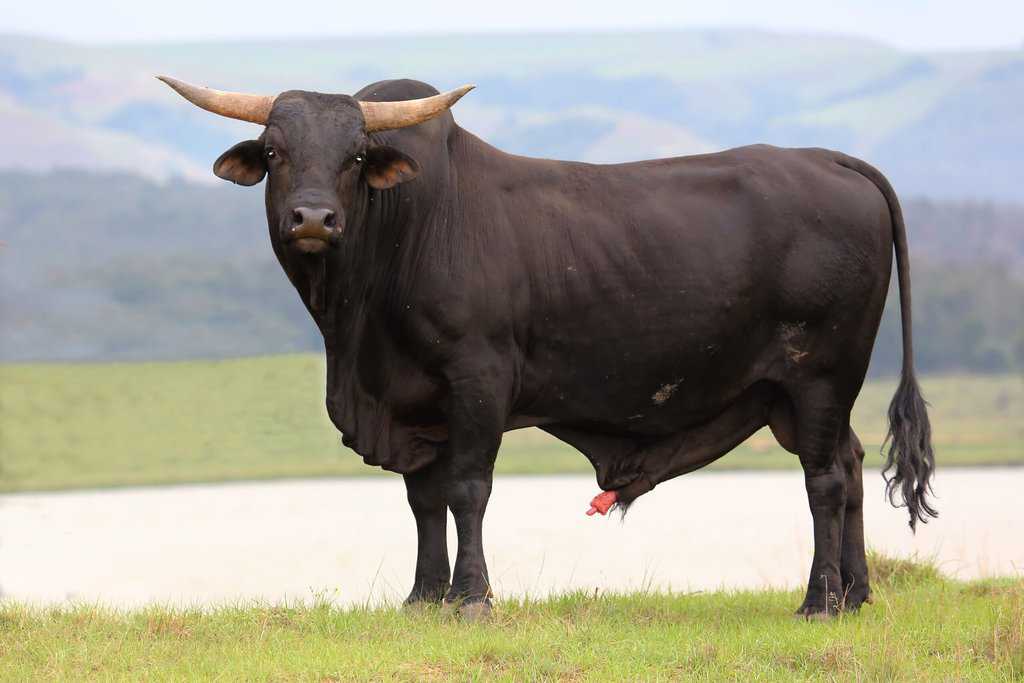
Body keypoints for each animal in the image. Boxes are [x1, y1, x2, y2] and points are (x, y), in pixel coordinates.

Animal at [159, 75, 936, 619]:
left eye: (354, 156)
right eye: (274, 152)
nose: (314, 219)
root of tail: (833, 161)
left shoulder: (477, 378)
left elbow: (467, 490)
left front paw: (471, 597)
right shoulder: (416, 403)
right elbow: (423, 499)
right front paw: (423, 596)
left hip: (821, 374)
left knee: (824, 480)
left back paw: (819, 601)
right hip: (790, 396)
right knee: (851, 463)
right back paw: (857, 593)